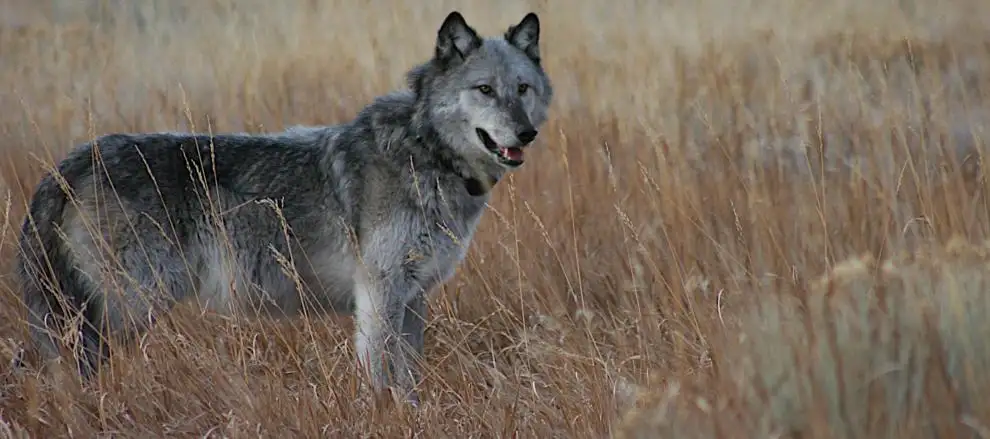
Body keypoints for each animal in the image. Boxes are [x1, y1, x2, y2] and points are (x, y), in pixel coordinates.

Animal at [15, 11, 553, 405]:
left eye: (522, 88)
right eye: (485, 89)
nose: (527, 133)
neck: (426, 152)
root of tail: (70, 162)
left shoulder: (413, 297)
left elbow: (409, 377)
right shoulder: (379, 293)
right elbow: (385, 377)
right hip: (121, 309)